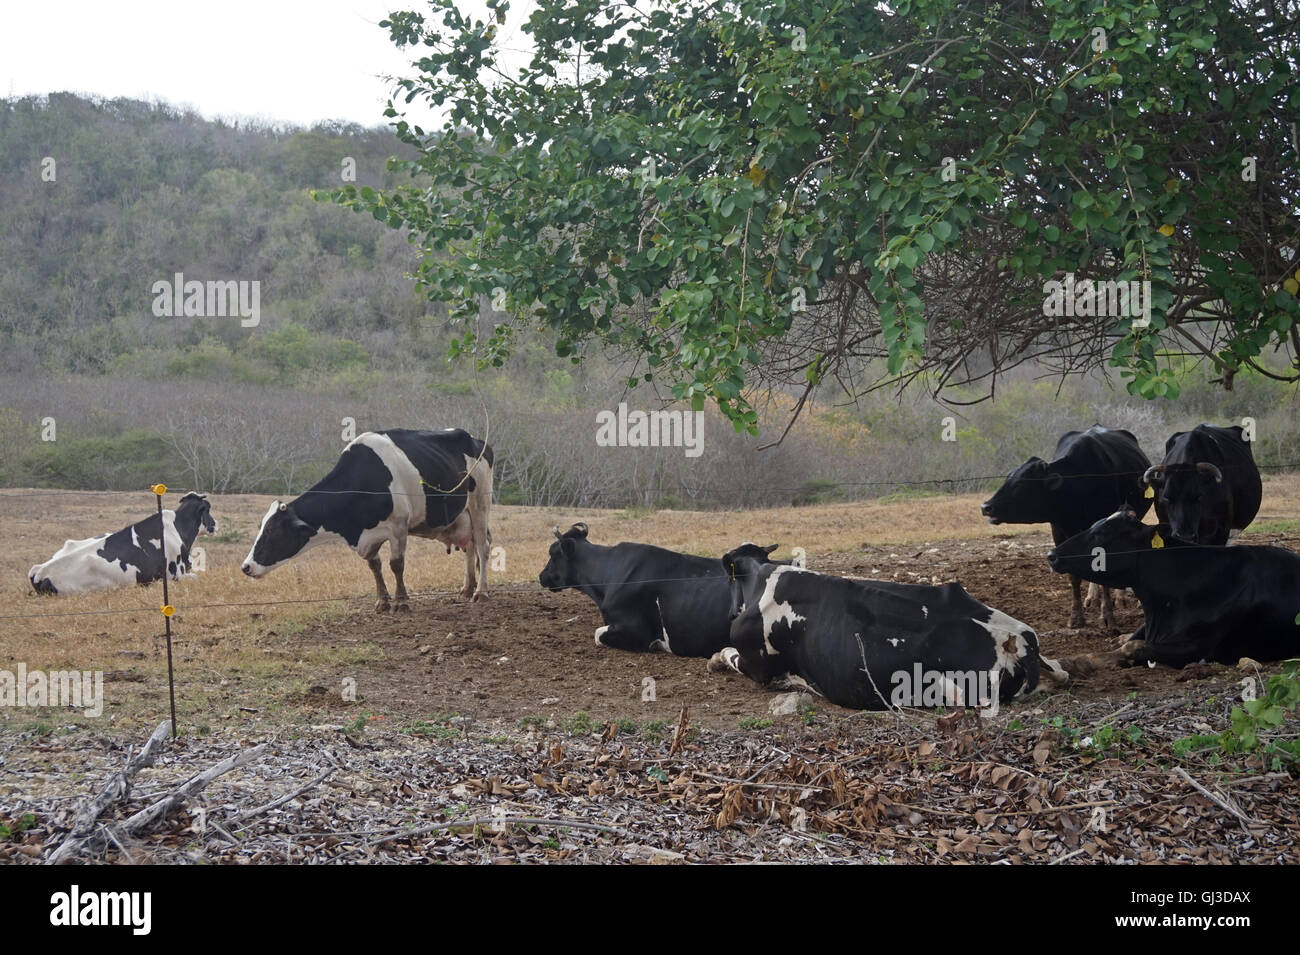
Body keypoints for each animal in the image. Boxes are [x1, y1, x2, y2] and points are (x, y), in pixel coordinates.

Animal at [29, 492, 217, 596]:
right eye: (208, 509)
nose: (216, 524)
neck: (177, 528)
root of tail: (39, 571)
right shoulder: (175, 574)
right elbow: (195, 577)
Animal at [241, 428, 493, 611]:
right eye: (261, 528)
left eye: (273, 532)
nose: (246, 567)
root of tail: (475, 439)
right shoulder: (367, 538)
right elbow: (375, 566)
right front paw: (382, 602)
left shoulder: (398, 525)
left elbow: (396, 564)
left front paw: (401, 602)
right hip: (463, 516)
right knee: (470, 546)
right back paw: (467, 588)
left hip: (480, 504)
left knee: (482, 546)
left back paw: (480, 592)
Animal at [708, 544, 1069, 714]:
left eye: (727, 578)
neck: (761, 582)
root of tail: (1018, 641)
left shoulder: (758, 668)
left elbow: (728, 653)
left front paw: (714, 658)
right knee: (1061, 670)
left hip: (947, 689)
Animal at [980, 424, 1151, 630]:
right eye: (1008, 477)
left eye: (1021, 482)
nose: (986, 506)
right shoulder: (1060, 533)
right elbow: (1074, 576)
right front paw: (1076, 617)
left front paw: (1108, 617)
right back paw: (1092, 598)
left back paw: (1119, 598)